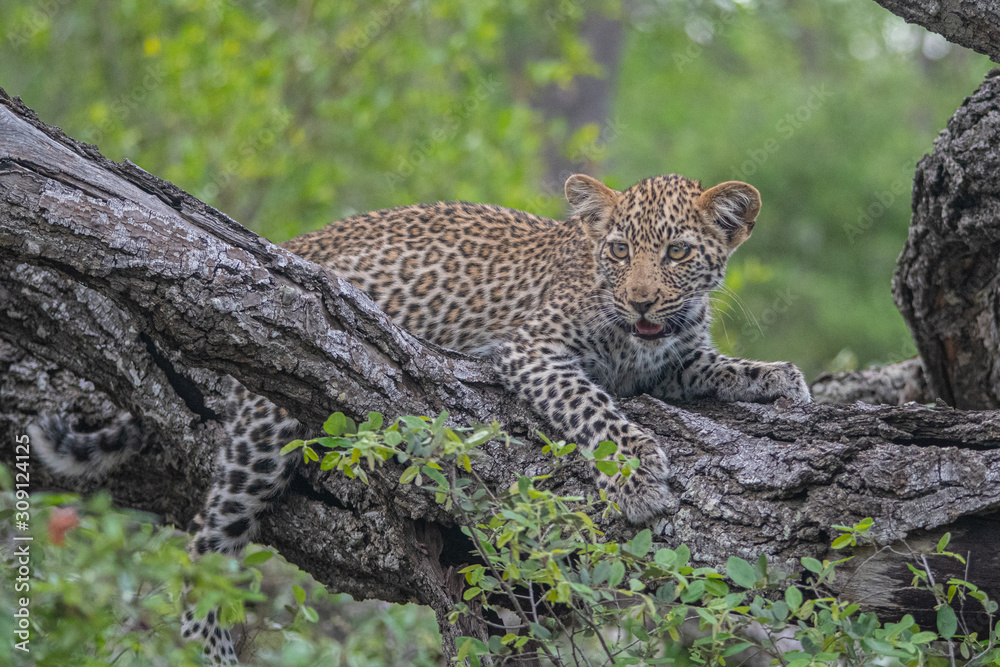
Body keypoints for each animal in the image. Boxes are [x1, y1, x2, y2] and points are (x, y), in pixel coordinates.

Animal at [31, 172, 810, 663]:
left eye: (677, 253)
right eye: (618, 251)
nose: (642, 299)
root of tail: (295, 246)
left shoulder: (676, 361)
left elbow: (719, 367)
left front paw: (781, 380)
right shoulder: (534, 351)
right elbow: (595, 407)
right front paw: (639, 471)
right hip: (266, 422)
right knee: (207, 546)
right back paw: (209, 643)